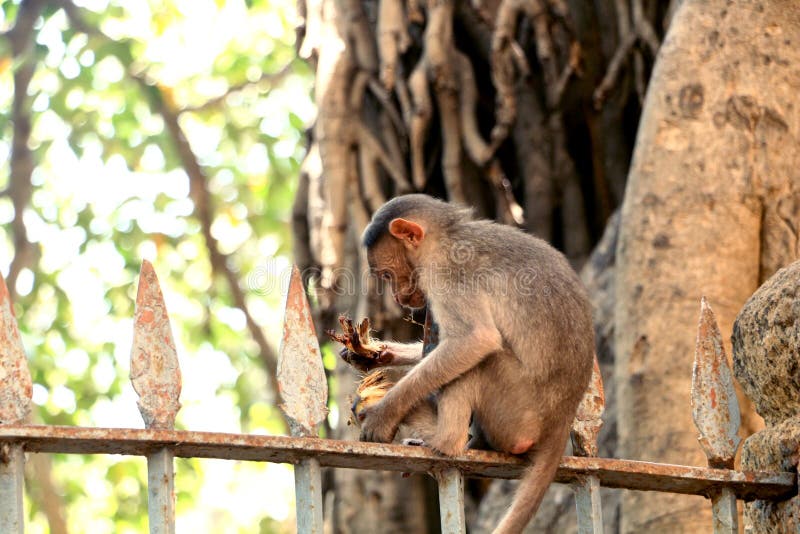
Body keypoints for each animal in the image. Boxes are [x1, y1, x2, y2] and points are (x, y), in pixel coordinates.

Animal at [340, 194, 594, 534]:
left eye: (387, 275)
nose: (397, 299)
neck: (446, 235)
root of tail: (562, 421)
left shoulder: (447, 273)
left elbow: (474, 340)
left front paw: (383, 415)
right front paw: (377, 354)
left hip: (516, 412)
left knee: (481, 361)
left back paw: (443, 441)